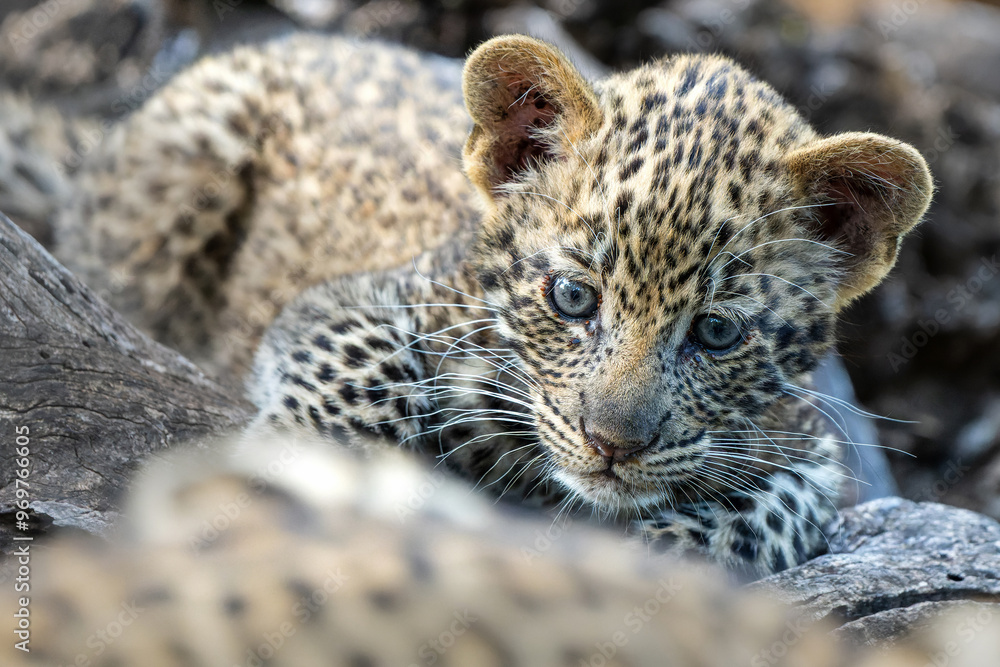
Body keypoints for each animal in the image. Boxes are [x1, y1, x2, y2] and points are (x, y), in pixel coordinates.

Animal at [41, 32, 932, 578]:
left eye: (716, 333)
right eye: (572, 297)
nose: (613, 445)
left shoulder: (811, 442)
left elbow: (780, 508)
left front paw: (670, 542)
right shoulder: (359, 298)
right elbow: (370, 368)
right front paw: (317, 476)